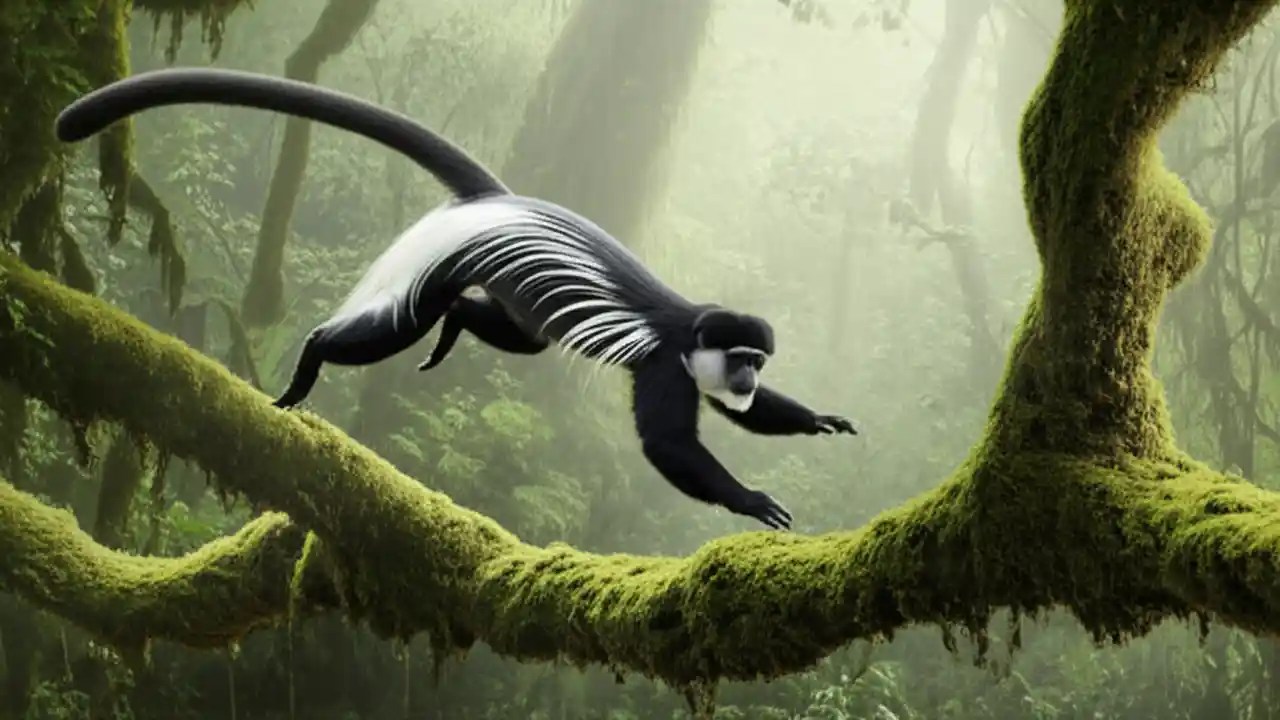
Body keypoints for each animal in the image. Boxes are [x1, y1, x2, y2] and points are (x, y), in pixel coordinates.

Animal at [56, 68, 859, 530]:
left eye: (759, 361)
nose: (750, 373)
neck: (692, 330)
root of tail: (498, 203)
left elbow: (743, 417)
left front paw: (816, 419)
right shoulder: (667, 363)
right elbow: (668, 444)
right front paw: (750, 499)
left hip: (511, 285)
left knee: (503, 326)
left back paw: (452, 330)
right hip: (446, 257)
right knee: (402, 318)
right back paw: (317, 355)